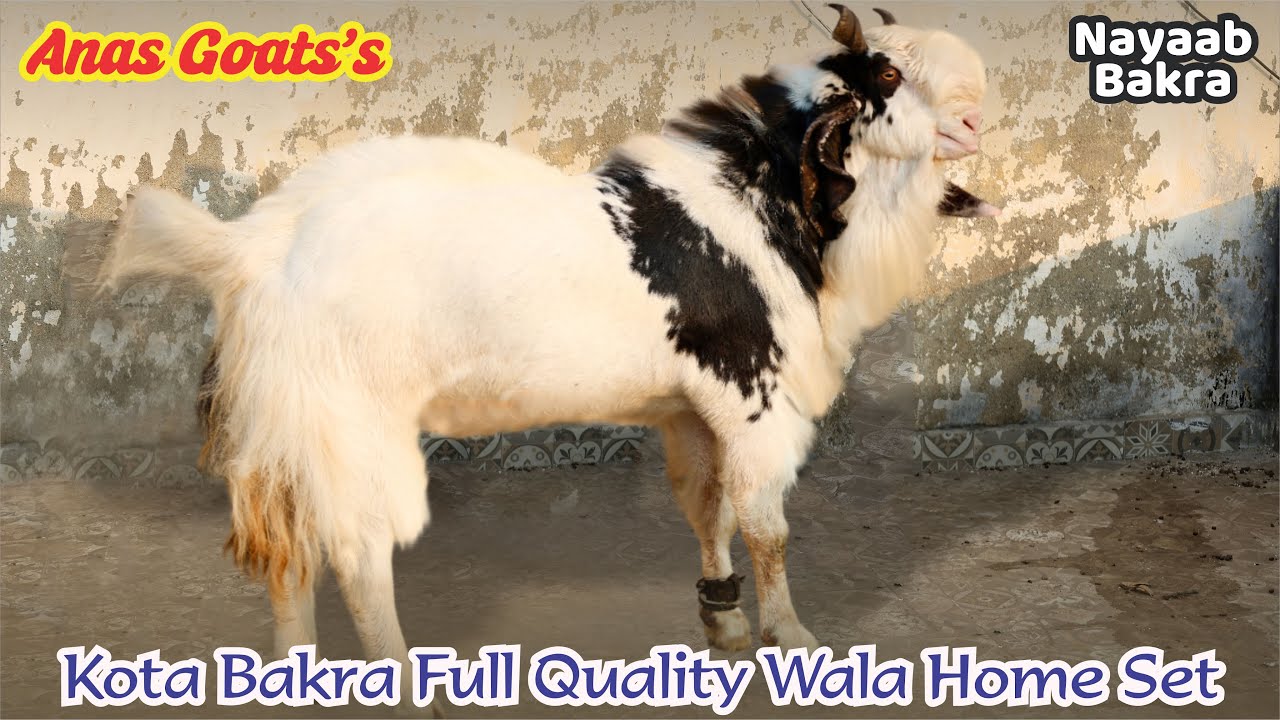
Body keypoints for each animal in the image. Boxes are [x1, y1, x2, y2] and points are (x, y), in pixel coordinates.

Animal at [69, 4, 992, 675]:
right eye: (889, 74)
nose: (977, 120)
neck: (755, 203)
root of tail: (253, 244)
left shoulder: (690, 407)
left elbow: (706, 505)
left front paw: (724, 618)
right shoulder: (754, 397)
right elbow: (768, 524)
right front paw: (791, 637)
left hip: (285, 436)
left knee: (289, 563)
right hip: (349, 429)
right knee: (358, 556)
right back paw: (402, 684)